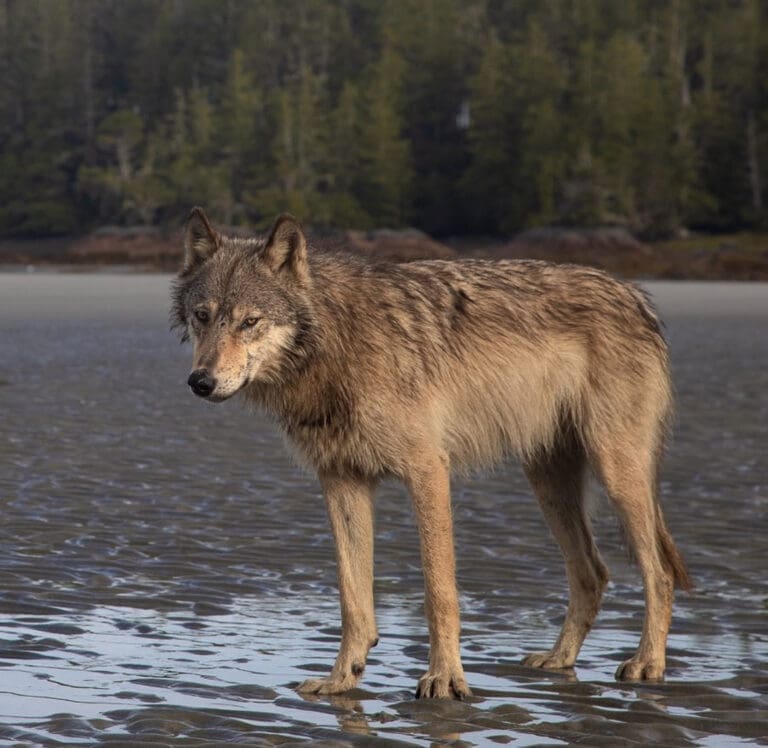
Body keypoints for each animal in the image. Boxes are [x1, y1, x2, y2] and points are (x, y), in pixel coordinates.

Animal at [172, 208, 691, 699]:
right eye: (203, 316)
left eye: (249, 321)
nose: (200, 382)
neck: (335, 342)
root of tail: (637, 296)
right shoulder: (342, 481)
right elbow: (352, 599)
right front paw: (341, 679)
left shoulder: (428, 472)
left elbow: (439, 593)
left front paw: (445, 679)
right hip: (547, 483)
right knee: (592, 573)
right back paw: (559, 659)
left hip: (617, 473)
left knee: (659, 573)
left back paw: (648, 664)